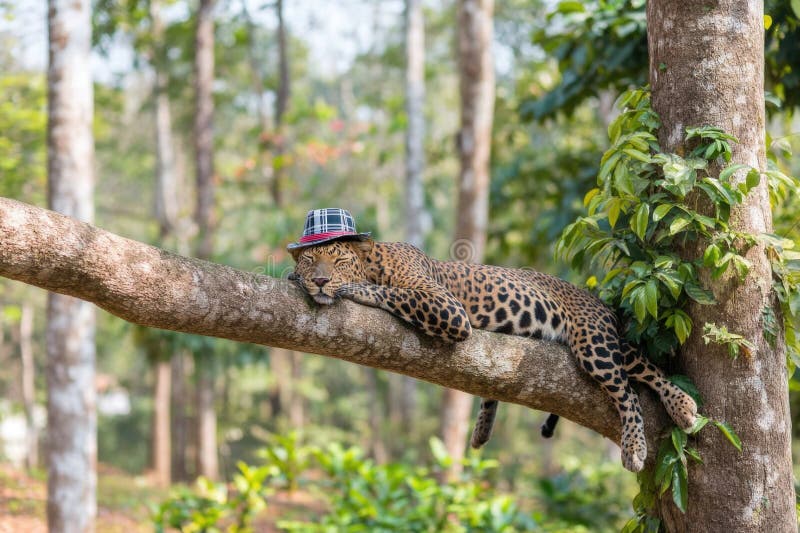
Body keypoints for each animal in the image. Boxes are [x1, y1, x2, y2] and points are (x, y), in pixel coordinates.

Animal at [288, 238, 698, 472]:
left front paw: (353, 289)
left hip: (592, 342)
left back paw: (641, 442)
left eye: (338, 262)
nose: (320, 280)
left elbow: (389, 292)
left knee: (628, 390)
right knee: (644, 367)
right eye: (309, 261)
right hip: (604, 341)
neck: (372, 259)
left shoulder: (447, 308)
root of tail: (600, 303)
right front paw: (297, 279)